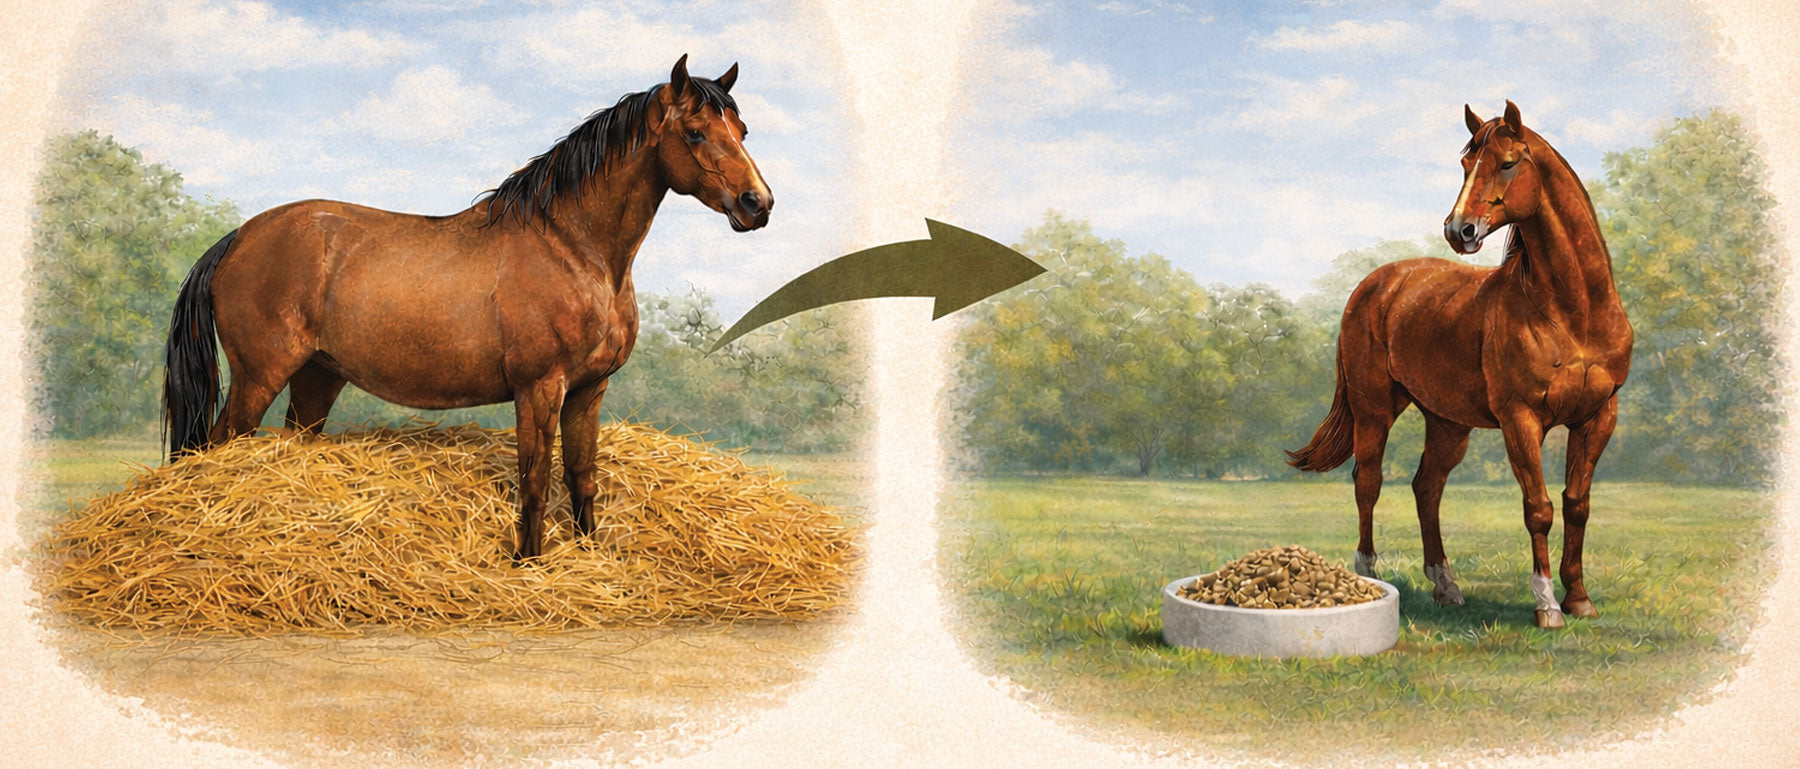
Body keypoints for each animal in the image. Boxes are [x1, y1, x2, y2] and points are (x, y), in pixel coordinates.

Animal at [161, 55, 774, 560]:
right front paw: (528, 565)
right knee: (216, 450)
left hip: (317, 377)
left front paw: (588, 557)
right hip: (258, 378)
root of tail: (238, 238)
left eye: (741, 131)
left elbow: (582, 478)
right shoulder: (539, 388)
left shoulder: (587, 390)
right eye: (695, 132)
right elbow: (534, 482)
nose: (758, 204)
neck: (574, 248)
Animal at [1287, 101, 1632, 629]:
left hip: (1447, 423)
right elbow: (1539, 508)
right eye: (1466, 165)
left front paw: (1578, 598)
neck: (1574, 312)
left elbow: (1576, 504)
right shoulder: (1520, 420)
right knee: (1368, 483)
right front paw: (1547, 605)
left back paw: (1445, 585)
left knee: (1426, 487)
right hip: (1374, 410)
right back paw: (1368, 575)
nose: (1459, 230)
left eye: (1508, 163)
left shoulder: (1597, 418)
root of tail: (1376, 283)